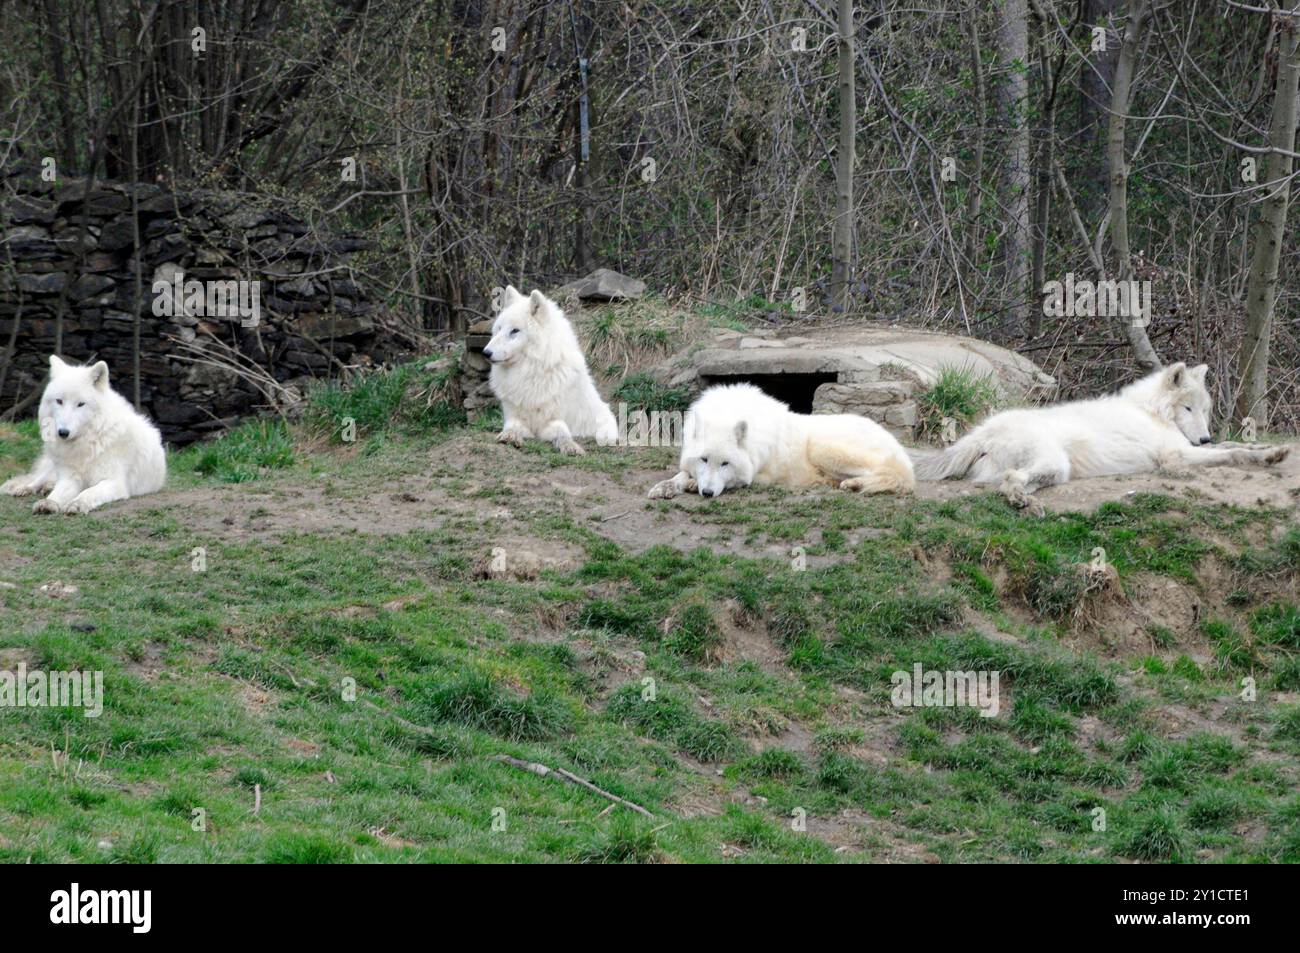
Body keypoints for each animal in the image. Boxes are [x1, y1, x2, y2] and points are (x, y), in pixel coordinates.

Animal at [1, 355, 166, 514]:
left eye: (80, 404)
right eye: (59, 401)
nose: (63, 432)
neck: (88, 443)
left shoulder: (113, 482)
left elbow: (88, 492)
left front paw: (77, 504)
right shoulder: (70, 479)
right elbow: (57, 494)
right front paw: (49, 503)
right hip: (53, 468)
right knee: (38, 480)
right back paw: (25, 488)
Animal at [484, 286, 618, 455]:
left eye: (515, 331)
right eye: (499, 329)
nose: (485, 352)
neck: (530, 372)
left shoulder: (554, 420)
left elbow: (562, 432)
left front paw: (570, 446)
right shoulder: (515, 417)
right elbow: (511, 426)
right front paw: (509, 436)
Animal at [647, 382, 915, 498]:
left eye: (725, 464)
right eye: (704, 459)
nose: (708, 493)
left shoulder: (757, 474)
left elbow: (739, 480)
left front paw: (691, 484)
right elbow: (681, 473)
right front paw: (666, 486)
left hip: (822, 447)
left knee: (891, 476)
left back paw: (856, 484)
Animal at [914, 362, 1289, 508]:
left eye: (1205, 410)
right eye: (1188, 409)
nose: (1204, 438)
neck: (1152, 410)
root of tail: (983, 431)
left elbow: (1232, 445)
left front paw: (1271, 450)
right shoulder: (1176, 455)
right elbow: (1232, 453)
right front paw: (1265, 455)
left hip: (1053, 470)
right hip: (1054, 463)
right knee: (1011, 480)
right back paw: (1019, 498)